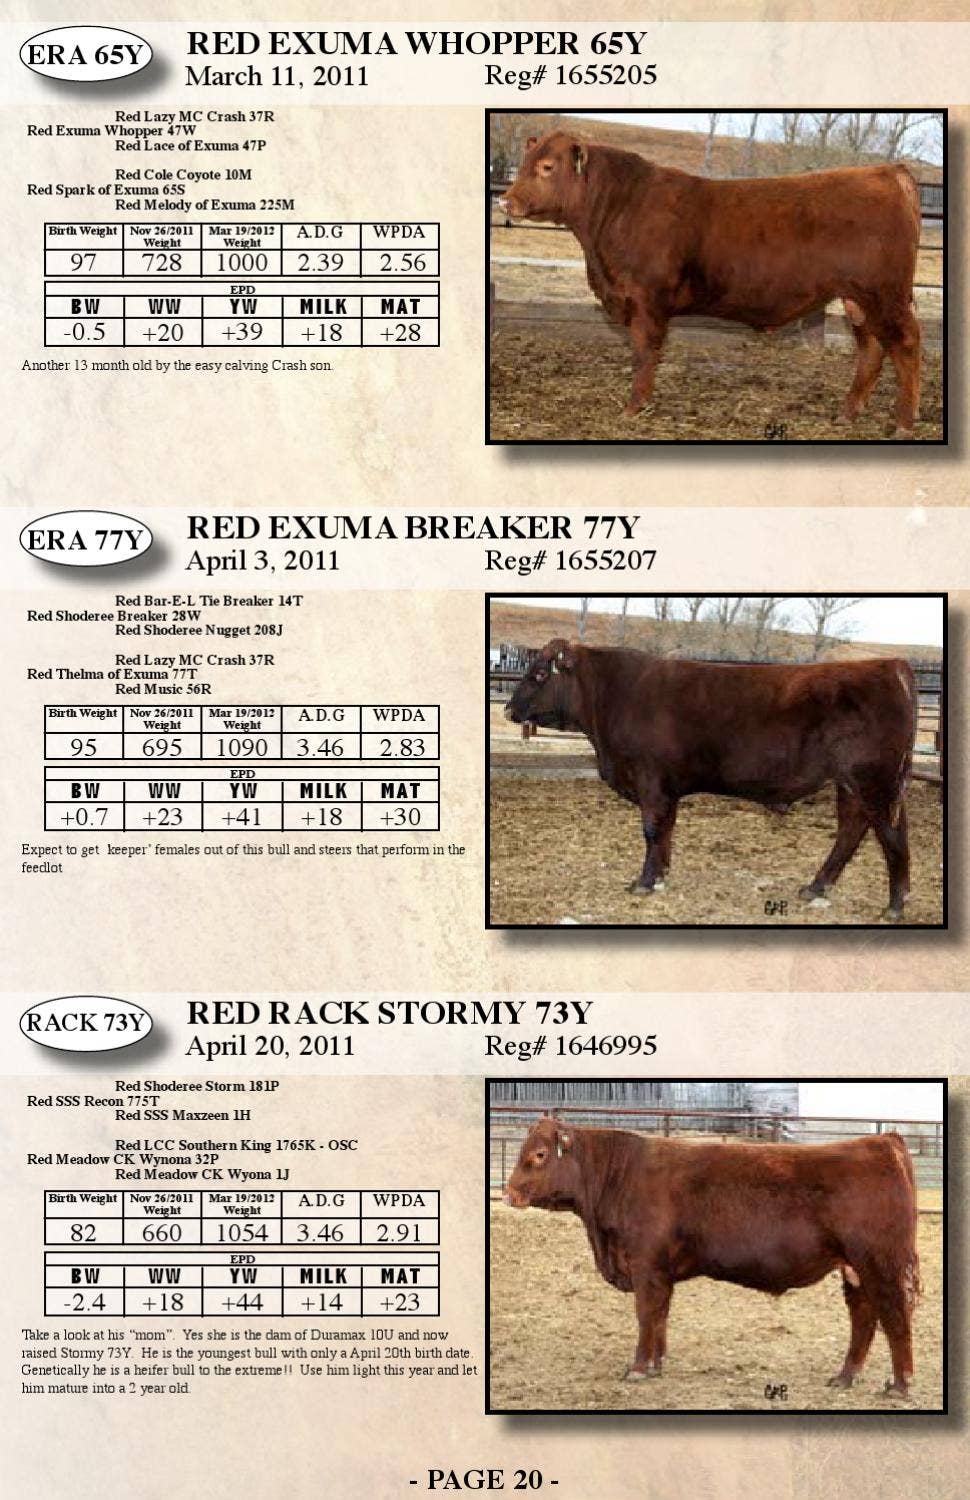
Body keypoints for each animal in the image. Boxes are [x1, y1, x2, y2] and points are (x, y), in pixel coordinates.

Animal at [498, 132, 922, 438]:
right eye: (524, 165)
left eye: (547, 167)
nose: (505, 201)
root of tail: (886, 171)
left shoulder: (646, 301)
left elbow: (644, 353)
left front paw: (635, 407)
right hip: (857, 299)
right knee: (870, 351)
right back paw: (847, 414)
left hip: (883, 294)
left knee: (905, 346)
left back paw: (904, 421)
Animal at [504, 1116, 921, 1396]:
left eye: (539, 1154)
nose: (508, 1193)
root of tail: (882, 1141)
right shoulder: (660, 1272)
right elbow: (660, 1316)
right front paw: (656, 1365)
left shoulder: (645, 1265)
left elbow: (645, 1315)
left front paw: (637, 1368)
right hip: (854, 1267)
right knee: (864, 1317)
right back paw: (844, 1377)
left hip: (880, 1262)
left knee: (894, 1316)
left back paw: (899, 1385)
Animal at [505, 639, 916, 920]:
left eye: (539, 674)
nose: (508, 709)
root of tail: (891, 665)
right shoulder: (666, 787)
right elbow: (666, 829)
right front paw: (661, 874)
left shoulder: (650, 780)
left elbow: (652, 829)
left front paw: (643, 882)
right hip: (853, 785)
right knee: (852, 830)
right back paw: (815, 887)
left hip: (873, 783)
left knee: (890, 835)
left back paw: (894, 905)